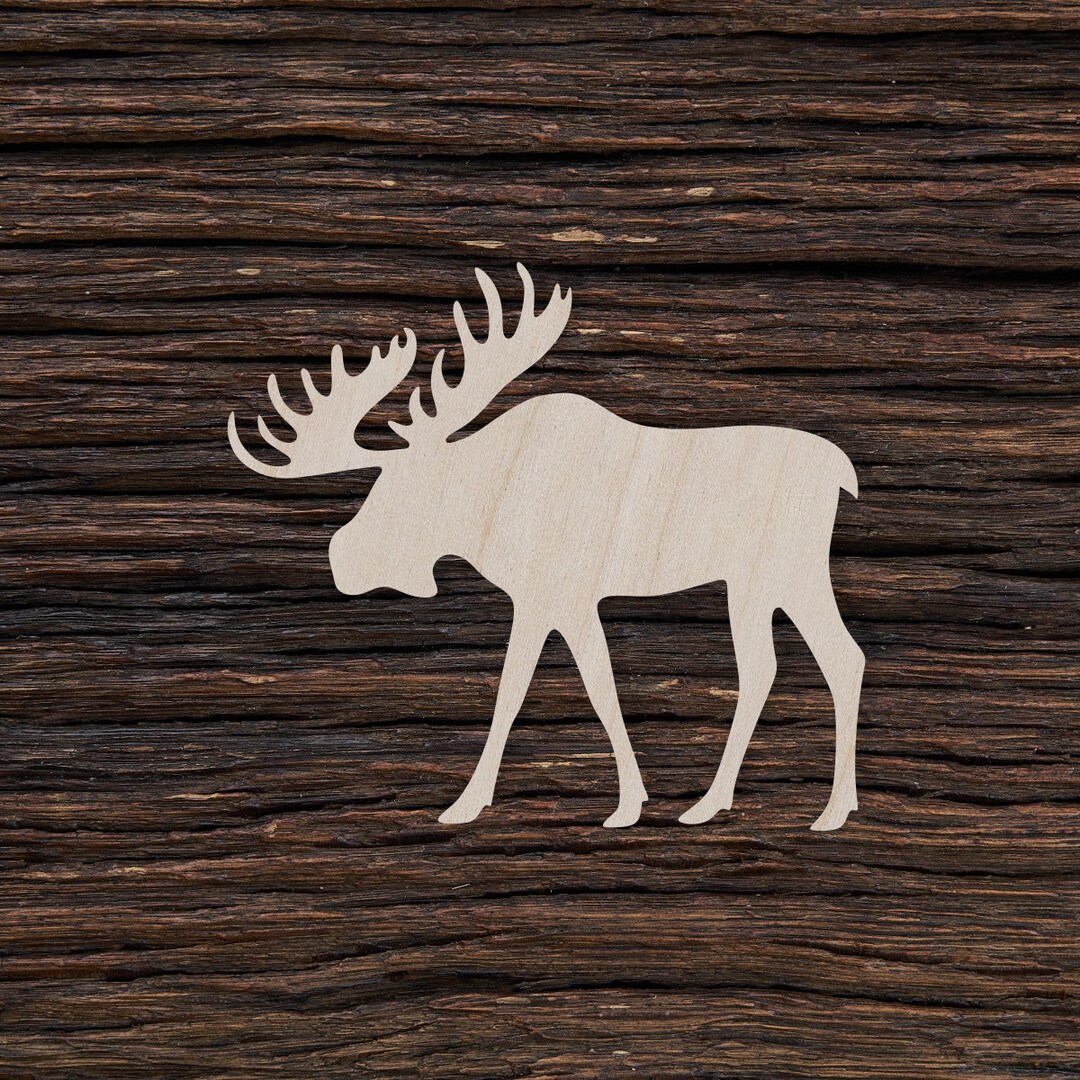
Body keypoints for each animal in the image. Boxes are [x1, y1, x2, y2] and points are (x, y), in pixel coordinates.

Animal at [228, 264, 864, 831]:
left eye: (404, 487)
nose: (341, 556)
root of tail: (843, 473)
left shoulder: (566, 593)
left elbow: (580, 689)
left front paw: (621, 804)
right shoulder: (538, 599)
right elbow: (524, 690)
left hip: (771, 573)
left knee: (791, 663)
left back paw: (780, 807)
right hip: (775, 579)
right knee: (818, 660)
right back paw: (790, 806)